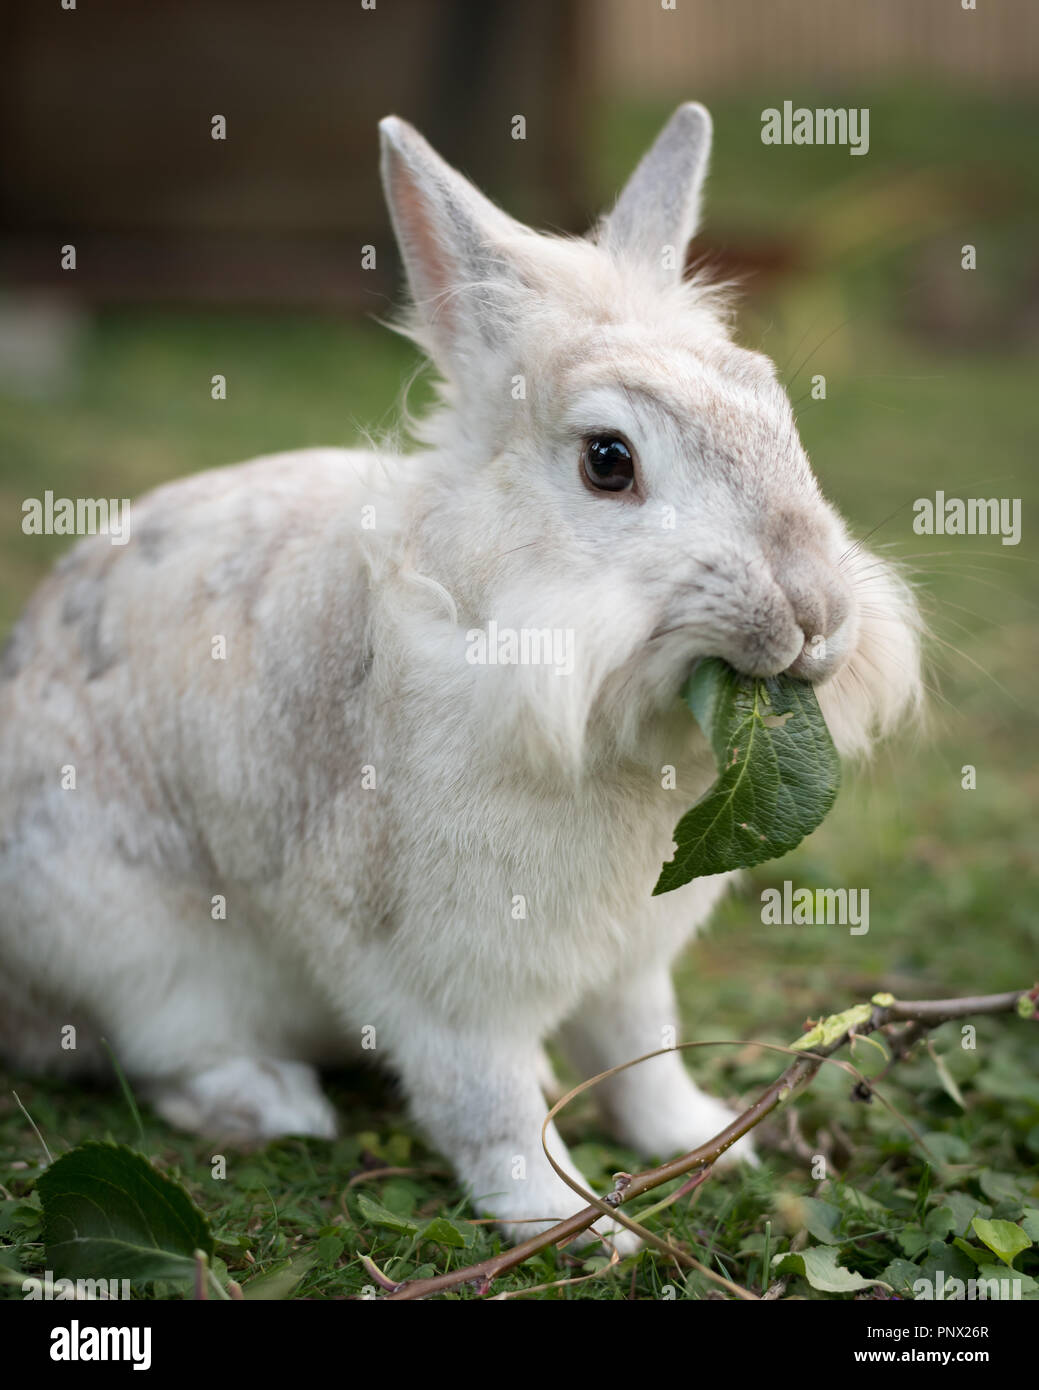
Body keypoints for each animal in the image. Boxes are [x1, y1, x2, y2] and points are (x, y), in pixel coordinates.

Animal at [0, 103, 923, 1252]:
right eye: (608, 460)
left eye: (778, 414)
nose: (814, 615)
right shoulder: (447, 984)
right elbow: (487, 1103)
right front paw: (572, 1221)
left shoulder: (630, 968)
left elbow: (642, 1056)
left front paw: (703, 1136)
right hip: (141, 961)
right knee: (169, 1058)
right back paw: (271, 1103)